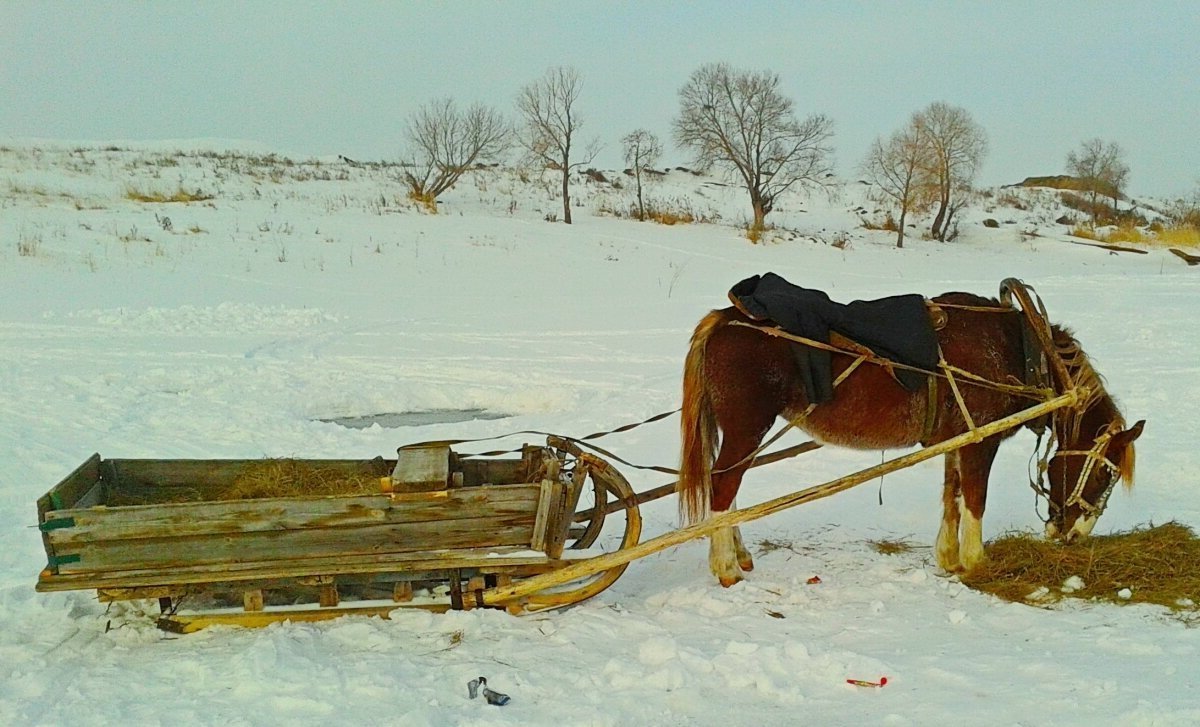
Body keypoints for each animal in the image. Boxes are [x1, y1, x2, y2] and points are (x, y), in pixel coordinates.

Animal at [676, 289, 1142, 587]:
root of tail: (726, 317)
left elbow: (953, 494)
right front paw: (976, 561)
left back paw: (738, 554)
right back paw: (725, 566)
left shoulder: (958, 439)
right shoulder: (981, 440)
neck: (1022, 350)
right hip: (747, 426)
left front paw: (949, 558)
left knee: (728, 489)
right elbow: (975, 498)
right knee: (723, 486)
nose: (1076, 535)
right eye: (1103, 474)